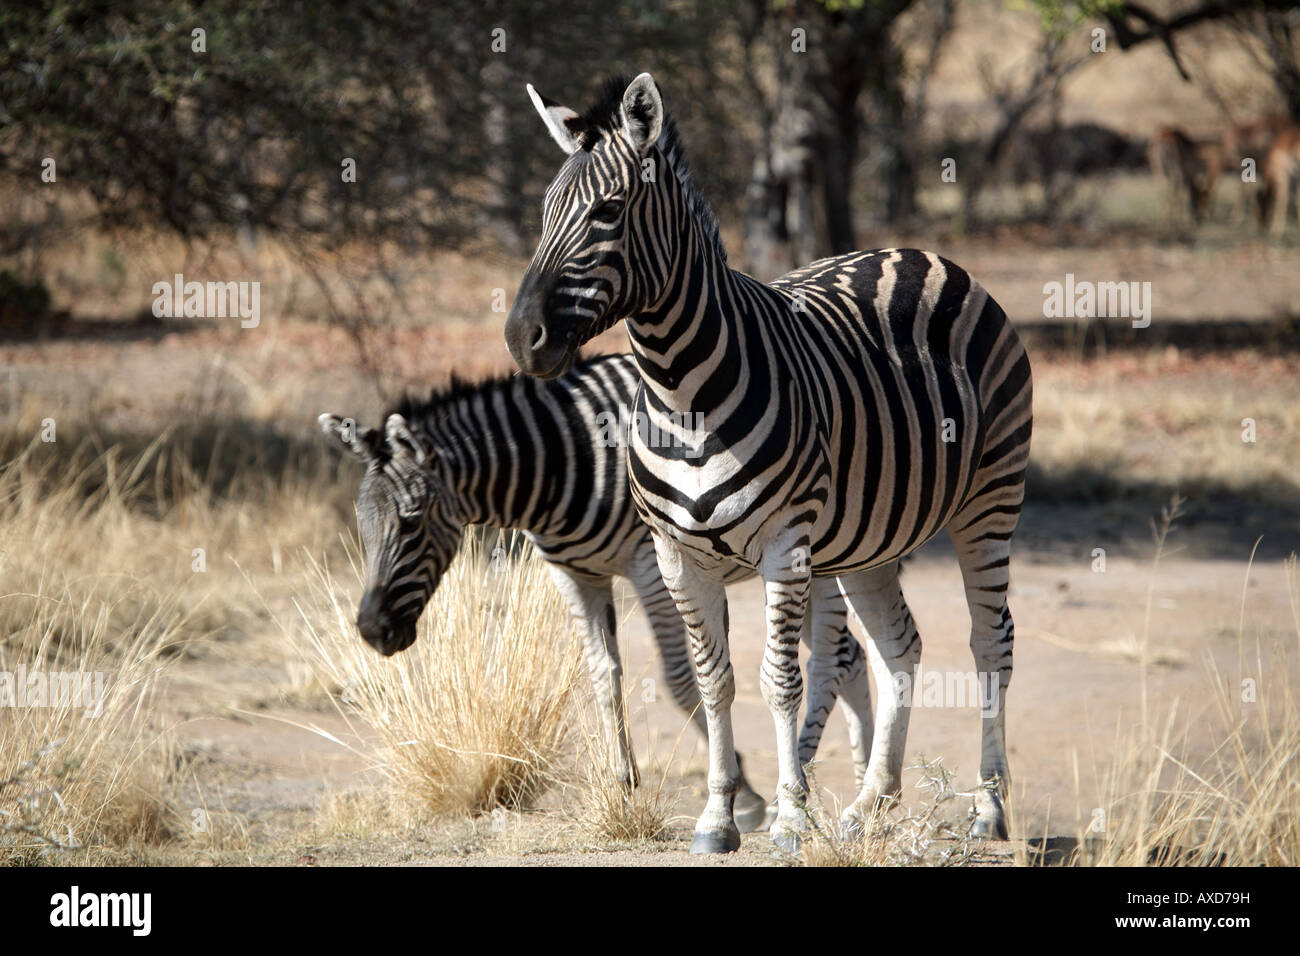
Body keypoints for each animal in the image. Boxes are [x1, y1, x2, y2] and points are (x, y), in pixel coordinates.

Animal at [317, 351, 874, 833]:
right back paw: (868, 785)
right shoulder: (575, 575)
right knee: (853, 657)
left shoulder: (652, 562)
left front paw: (750, 799)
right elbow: (603, 675)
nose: (372, 630)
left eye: (411, 522)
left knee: (840, 657)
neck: (565, 458)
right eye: (362, 524)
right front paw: (621, 782)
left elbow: (678, 680)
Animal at [504, 73, 1033, 853]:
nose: (522, 338)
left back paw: (988, 809)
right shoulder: (675, 554)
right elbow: (712, 680)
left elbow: (779, 679)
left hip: (989, 500)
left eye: (609, 211)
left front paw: (786, 818)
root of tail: (921, 254)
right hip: (872, 537)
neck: (680, 391)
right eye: (544, 213)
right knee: (899, 647)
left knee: (990, 640)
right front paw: (719, 817)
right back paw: (870, 803)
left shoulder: (785, 545)